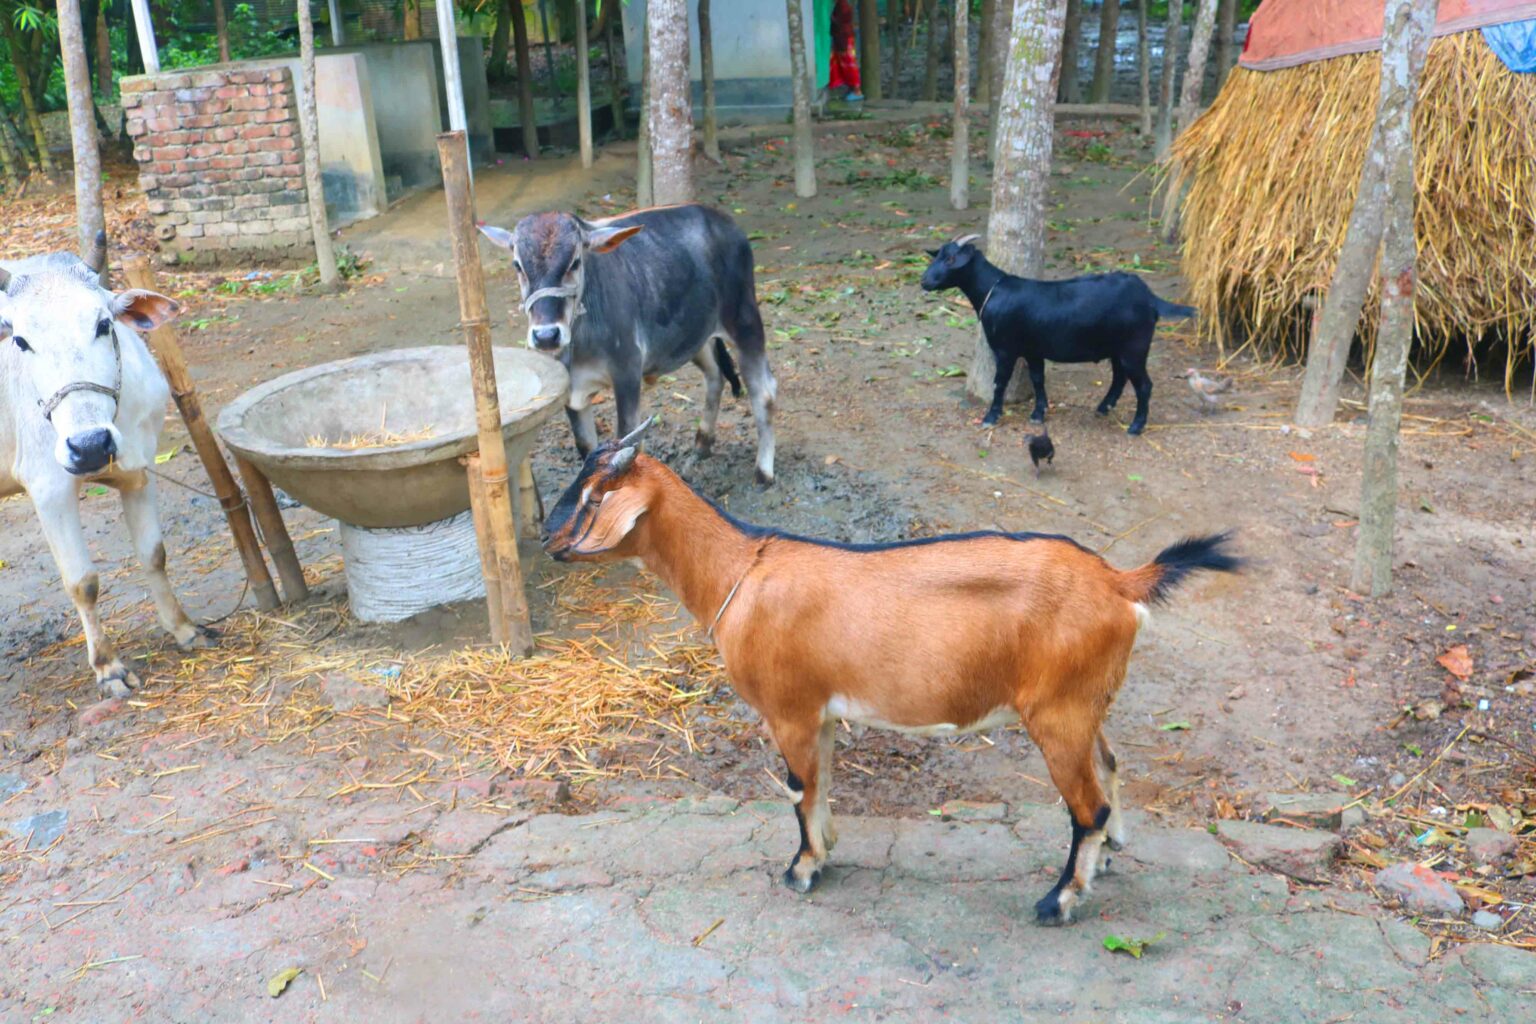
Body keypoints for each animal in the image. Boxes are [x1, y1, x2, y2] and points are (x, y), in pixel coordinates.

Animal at [543, 419, 1241, 924]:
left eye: (590, 497)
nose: (548, 538)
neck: (739, 570)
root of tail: (1121, 581)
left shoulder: (788, 708)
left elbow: (797, 788)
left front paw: (801, 869)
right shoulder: (821, 709)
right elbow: (822, 784)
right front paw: (825, 850)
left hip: (1058, 714)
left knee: (1086, 808)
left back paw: (1059, 901)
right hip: (1085, 702)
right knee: (1112, 769)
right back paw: (1108, 860)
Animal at [920, 236, 1196, 435]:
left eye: (951, 258)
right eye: (938, 256)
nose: (924, 281)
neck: (993, 290)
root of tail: (1149, 297)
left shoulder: (1006, 349)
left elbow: (1000, 382)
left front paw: (990, 417)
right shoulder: (1033, 350)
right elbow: (1037, 379)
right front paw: (1038, 414)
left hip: (1134, 347)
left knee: (1144, 385)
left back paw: (1136, 426)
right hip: (1118, 349)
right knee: (1119, 377)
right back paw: (1103, 407)